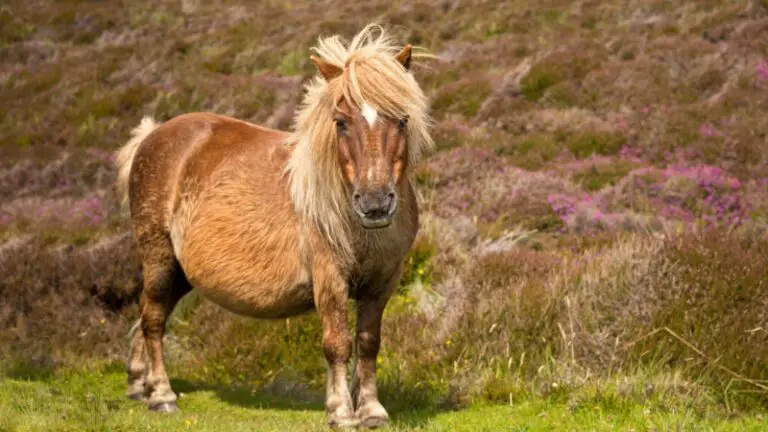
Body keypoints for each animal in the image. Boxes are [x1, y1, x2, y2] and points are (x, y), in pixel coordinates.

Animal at [114, 24, 434, 429]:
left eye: (402, 120)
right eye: (341, 122)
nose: (374, 204)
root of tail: (153, 135)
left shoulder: (381, 284)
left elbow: (367, 343)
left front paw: (372, 411)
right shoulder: (330, 280)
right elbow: (337, 343)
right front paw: (342, 412)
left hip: (182, 273)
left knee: (147, 312)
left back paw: (138, 384)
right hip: (159, 258)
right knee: (154, 317)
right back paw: (160, 395)